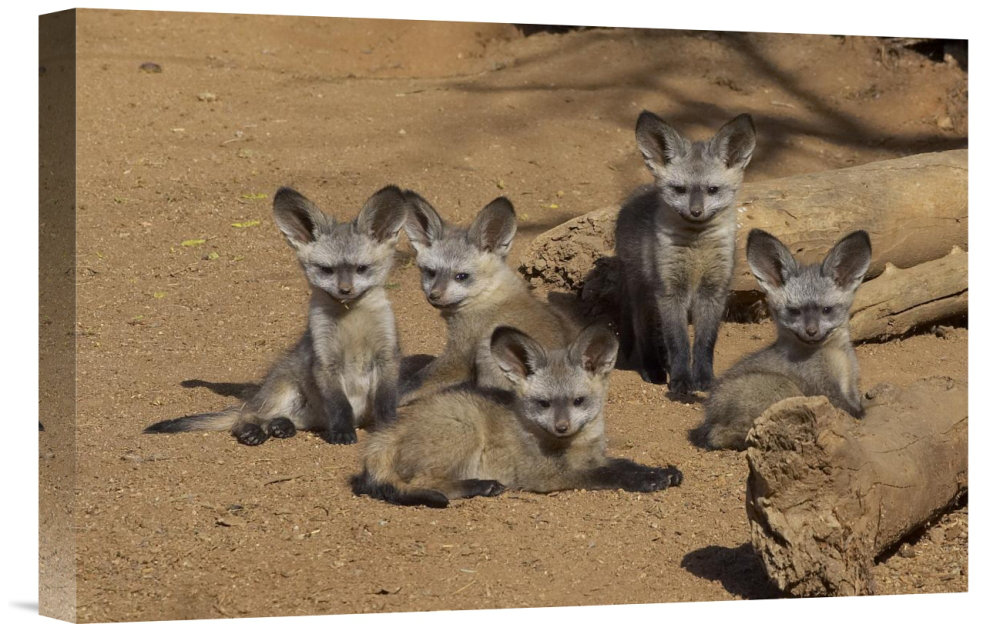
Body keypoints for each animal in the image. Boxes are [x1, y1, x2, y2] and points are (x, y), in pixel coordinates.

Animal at [144, 185, 408, 445]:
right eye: (326, 270)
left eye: (362, 268)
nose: (345, 291)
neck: (352, 323)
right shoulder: (325, 361)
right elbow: (339, 405)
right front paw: (343, 433)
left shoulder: (387, 356)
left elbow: (386, 402)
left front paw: (388, 428)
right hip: (282, 392)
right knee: (246, 415)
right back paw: (252, 432)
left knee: (280, 419)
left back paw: (280, 427)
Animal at [351, 323, 683, 507]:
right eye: (543, 403)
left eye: (578, 401)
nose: (562, 427)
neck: (576, 445)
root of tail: (386, 433)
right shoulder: (549, 474)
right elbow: (610, 475)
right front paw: (650, 480)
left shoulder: (595, 457)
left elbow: (625, 463)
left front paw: (661, 471)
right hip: (464, 429)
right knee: (424, 482)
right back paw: (480, 485)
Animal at [399, 192, 573, 403]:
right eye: (431, 273)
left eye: (461, 276)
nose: (434, 296)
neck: (488, 295)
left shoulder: (461, 353)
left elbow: (416, 383)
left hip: (486, 349)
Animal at [615, 111, 756, 394]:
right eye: (680, 189)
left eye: (712, 190)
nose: (696, 212)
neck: (696, 251)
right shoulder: (670, 291)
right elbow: (678, 341)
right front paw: (681, 381)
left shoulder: (714, 291)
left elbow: (705, 343)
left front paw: (704, 379)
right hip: (643, 293)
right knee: (643, 330)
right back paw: (654, 369)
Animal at [694, 228, 872, 450]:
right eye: (794, 311)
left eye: (826, 310)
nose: (811, 331)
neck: (836, 355)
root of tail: (710, 415)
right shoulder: (823, 388)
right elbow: (853, 412)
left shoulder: (850, 384)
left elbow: (858, 404)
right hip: (784, 388)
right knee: (724, 436)